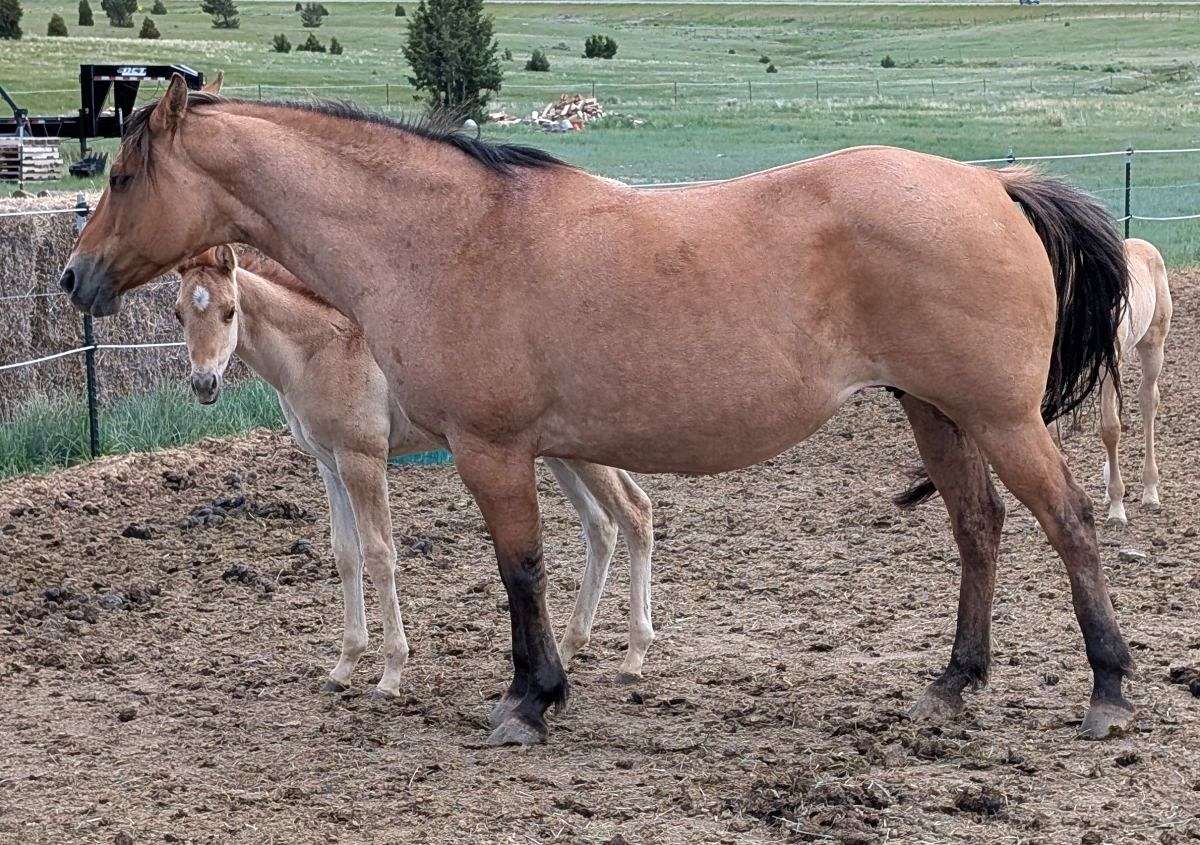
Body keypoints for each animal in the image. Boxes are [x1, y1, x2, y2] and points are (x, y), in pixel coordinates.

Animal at [174, 246, 657, 693]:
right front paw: (343, 667)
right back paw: (571, 648)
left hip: (581, 454)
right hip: (559, 456)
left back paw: (633, 657)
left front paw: (391, 673)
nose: (203, 384)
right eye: (179, 314)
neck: (320, 350)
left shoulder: (363, 460)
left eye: (229, 311)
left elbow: (379, 554)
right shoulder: (329, 464)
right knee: (602, 525)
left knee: (634, 513)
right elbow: (345, 554)